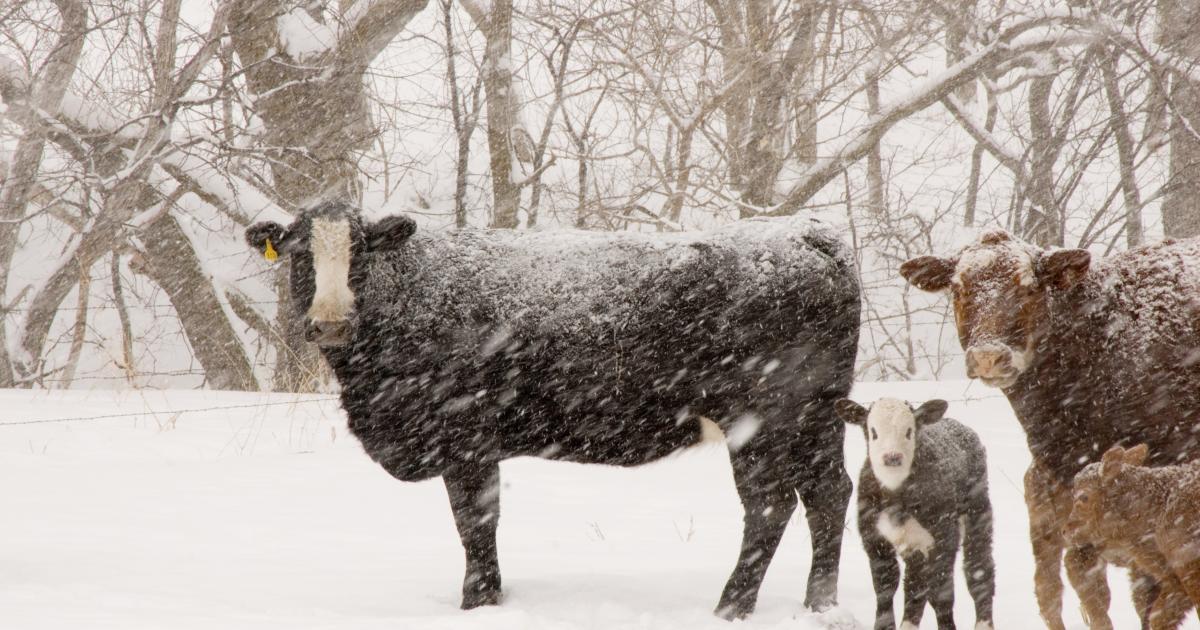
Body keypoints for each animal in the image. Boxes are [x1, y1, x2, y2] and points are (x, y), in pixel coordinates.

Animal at [244, 200, 862, 619]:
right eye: (298, 255)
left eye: (360, 254)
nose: (329, 323)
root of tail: (805, 232)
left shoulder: (465, 437)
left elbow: (475, 522)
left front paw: (478, 603)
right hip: (818, 415)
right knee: (829, 492)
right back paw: (820, 604)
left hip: (761, 419)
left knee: (770, 504)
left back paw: (730, 608)